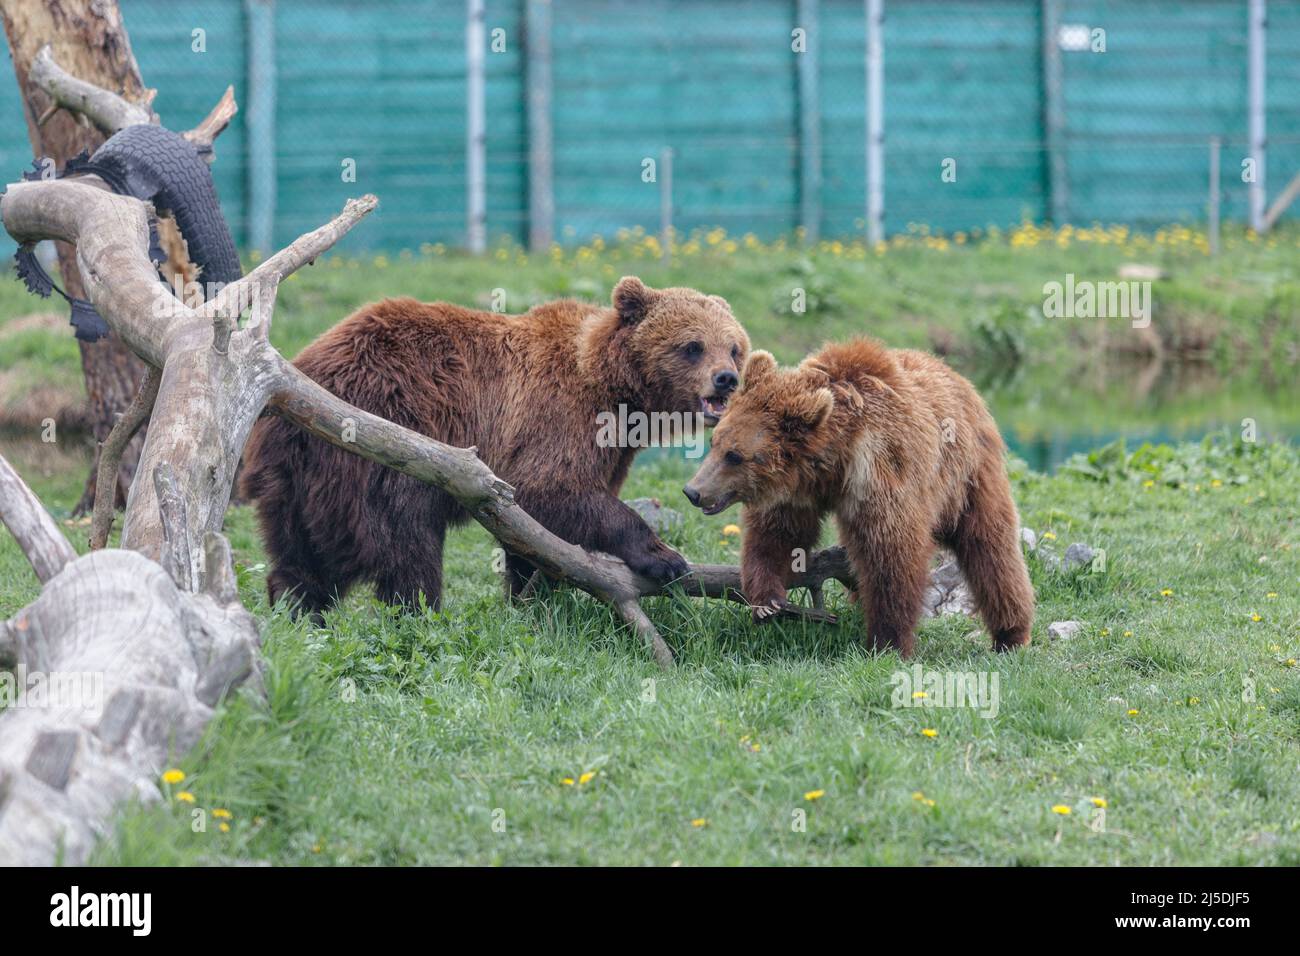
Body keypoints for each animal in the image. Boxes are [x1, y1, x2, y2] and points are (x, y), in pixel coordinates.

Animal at [240, 277, 750, 616]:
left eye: (733, 346)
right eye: (692, 345)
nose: (727, 378)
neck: (618, 391)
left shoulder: (614, 447)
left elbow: (538, 533)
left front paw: (530, 595)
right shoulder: (558, 413)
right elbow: (550, 490)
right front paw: (664, 557)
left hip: (302, 478)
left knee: (303, 555)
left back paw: (297, 612)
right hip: (384, 438)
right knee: (405, 540)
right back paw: (420, 613)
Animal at [682, 340, 1034, 657]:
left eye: (735, 456)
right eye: (715, 442)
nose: (693, 491)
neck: (833, 461)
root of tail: (959, 378)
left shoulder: (882, 474)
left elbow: (892, 557)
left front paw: (887, 642)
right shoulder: (795, 492)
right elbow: (777, 535)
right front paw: (768, 601)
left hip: (968, 478)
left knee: (990, 547)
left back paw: (1011, 633)